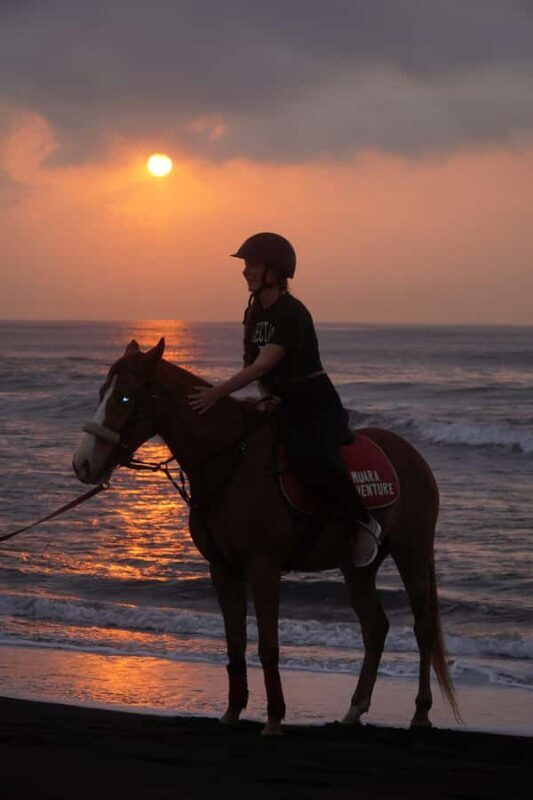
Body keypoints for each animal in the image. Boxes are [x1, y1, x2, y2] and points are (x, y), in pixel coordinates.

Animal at [73, 338, 459, 735]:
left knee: (423, 629)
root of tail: (412, 455)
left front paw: (274, 717)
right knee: (375, 627)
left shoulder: (263, 567)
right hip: (357, 568)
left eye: (124, 398)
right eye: (102, 393)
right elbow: (236, 642)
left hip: (412, 552)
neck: (229, 459)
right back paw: (354, 709)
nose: (82, 464)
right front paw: (232, 711)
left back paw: (420, 713)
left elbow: (268, 645)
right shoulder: (222, 569)